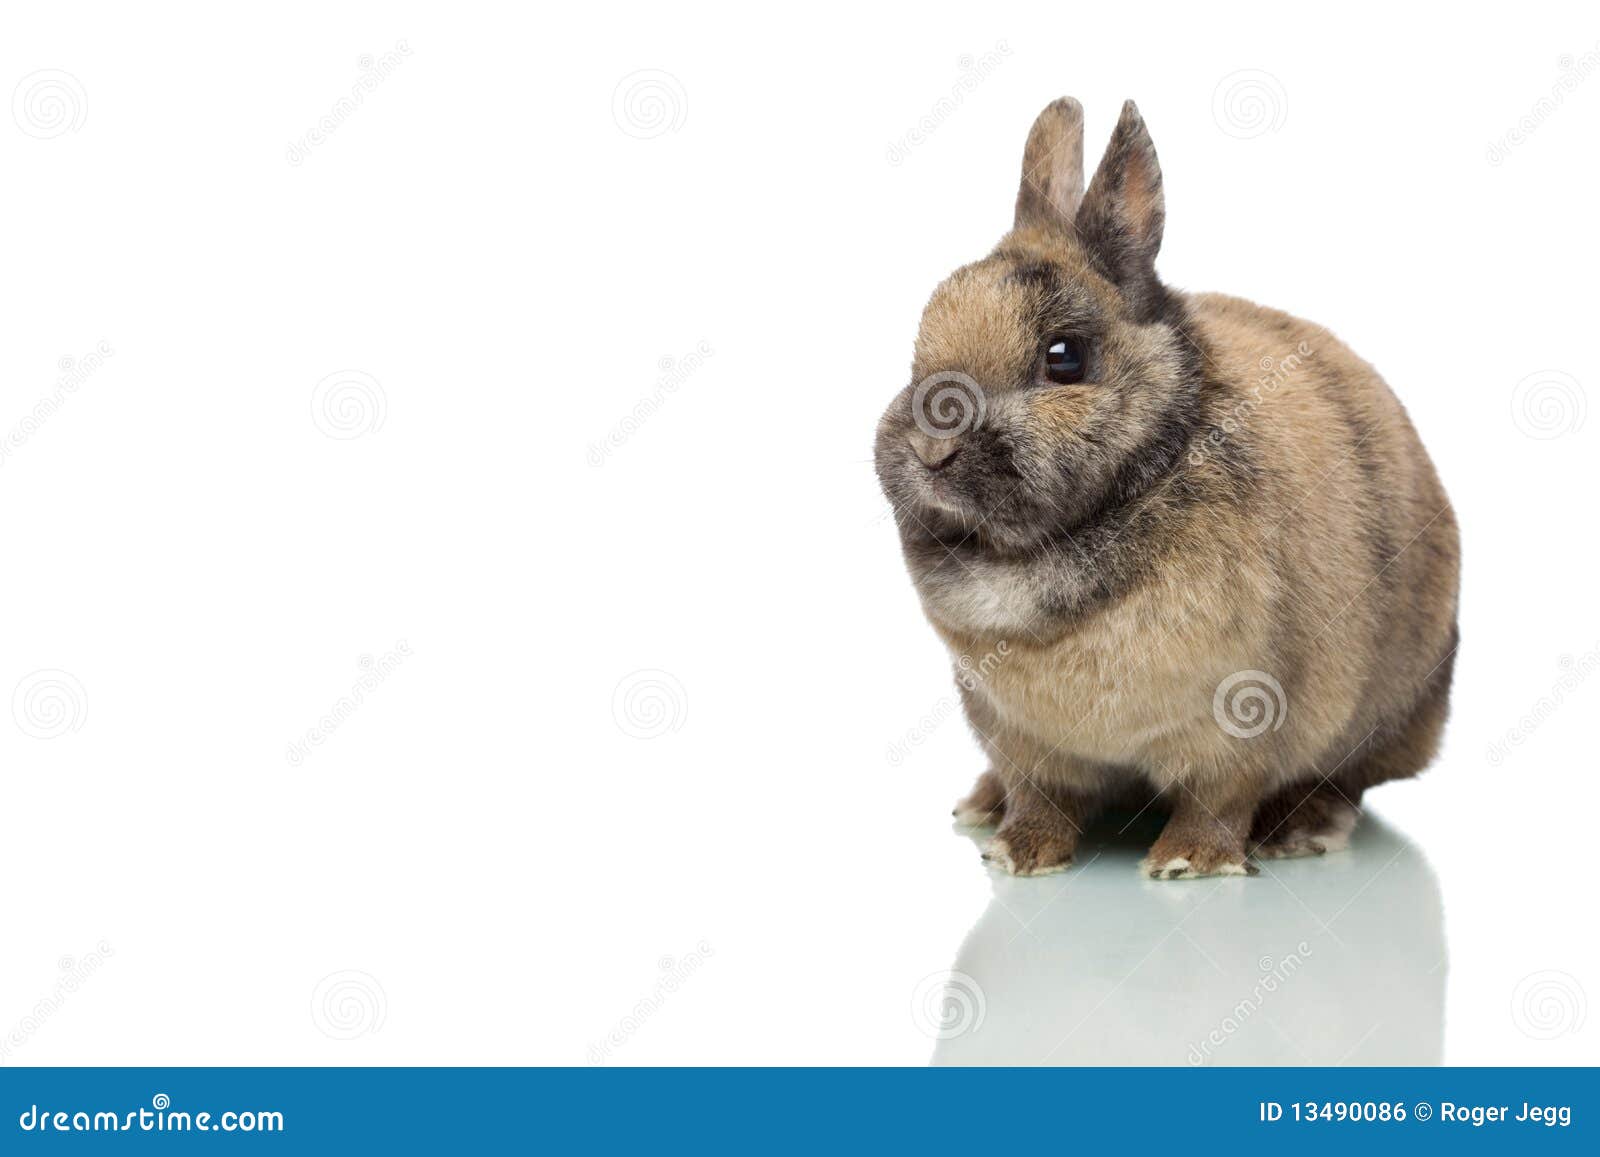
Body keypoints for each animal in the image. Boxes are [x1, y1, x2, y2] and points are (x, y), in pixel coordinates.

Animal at [874, 98, 1460, 879]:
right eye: (921, 337)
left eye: (1065, 357)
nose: (931, 449)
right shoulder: (1011, 729)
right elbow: (1041, 795)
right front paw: (1019, 852)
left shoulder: (1245, 712)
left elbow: (1219, 797)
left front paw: (1187, 862)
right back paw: (982, 805)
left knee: (1348, 780)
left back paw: (1303, 828)